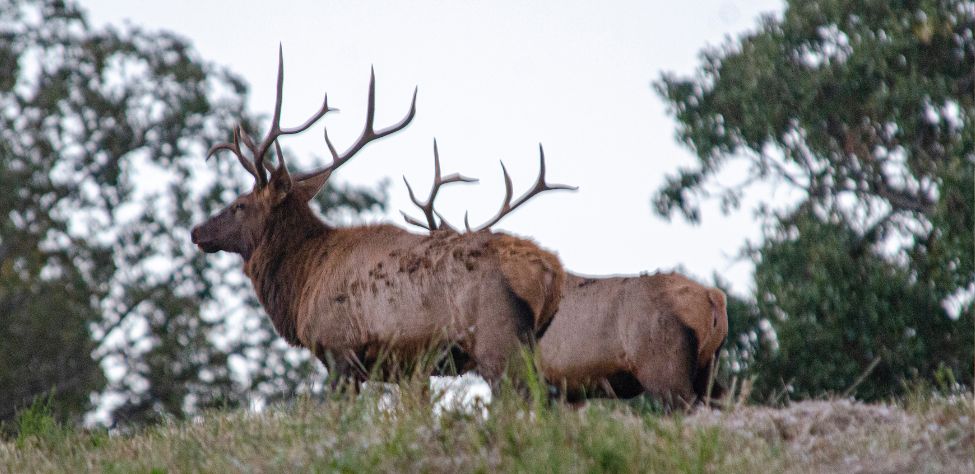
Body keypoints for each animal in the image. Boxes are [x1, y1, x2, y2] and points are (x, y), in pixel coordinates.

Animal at [191, 48, 565, 392]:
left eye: (239, 204)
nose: (196, 231)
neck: (302, 282)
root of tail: (551, 272)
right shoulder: (406, 369)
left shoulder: (339, 348)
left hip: (495, 339)